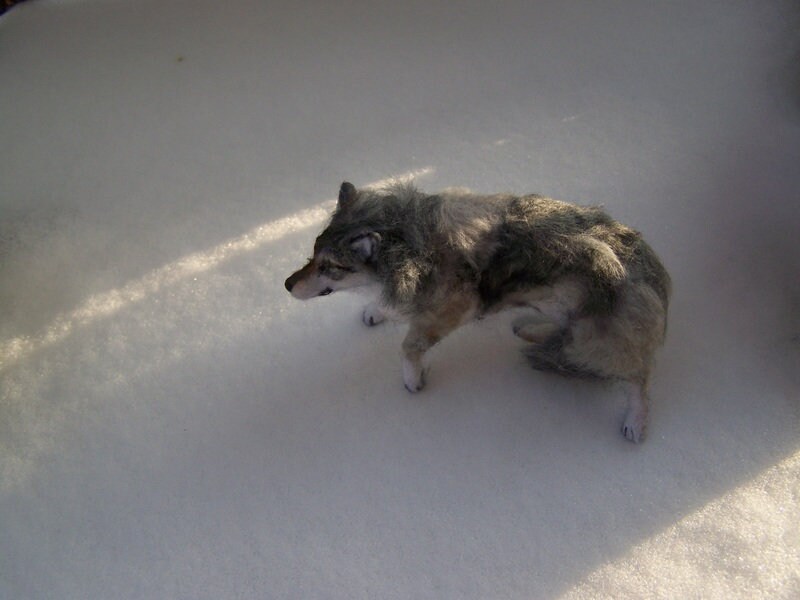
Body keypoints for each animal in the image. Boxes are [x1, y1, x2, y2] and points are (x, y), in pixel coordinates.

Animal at [285, 181, 671, 442]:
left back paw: (635, 419)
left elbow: (409, 346)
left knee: (639, 373)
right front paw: (376, 309)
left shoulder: (452, 310)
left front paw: (412, 379)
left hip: (597, 340)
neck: (409, 242)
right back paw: (531, 326)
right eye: (313, 255)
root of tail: (653, 273)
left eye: (330, 267)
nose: (287, 284)